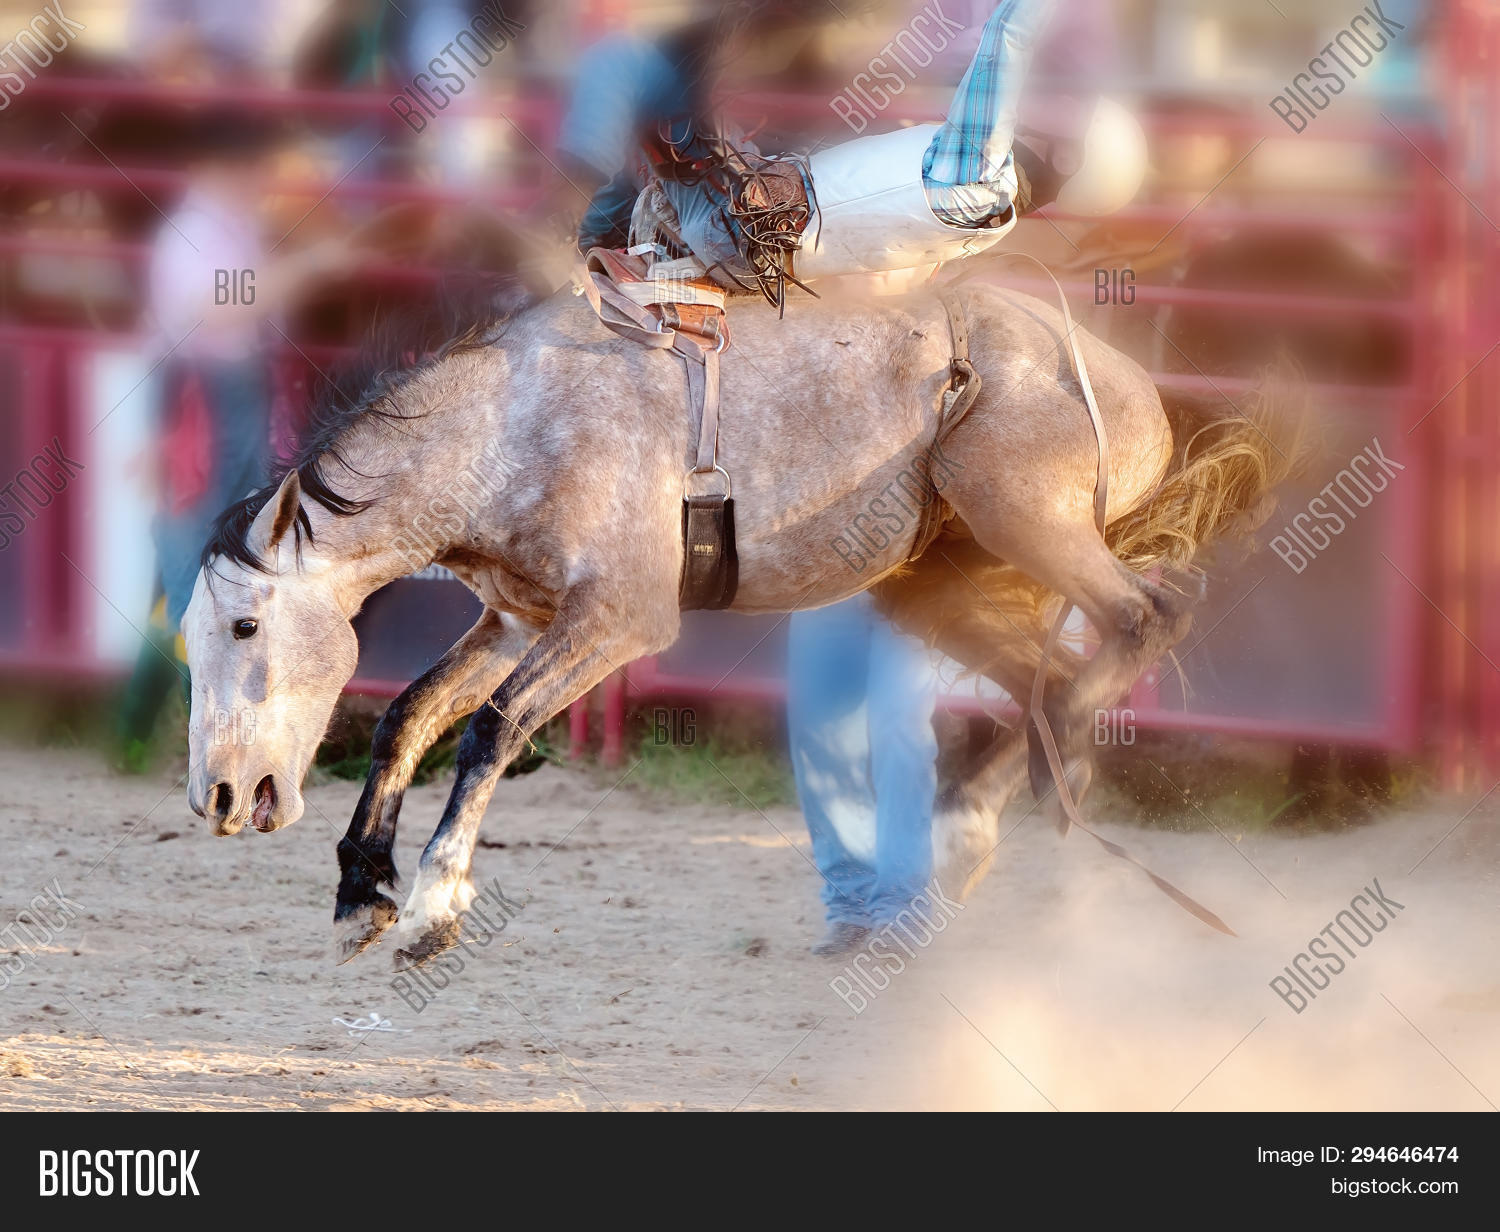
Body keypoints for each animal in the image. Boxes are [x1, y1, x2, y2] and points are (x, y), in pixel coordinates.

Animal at [181, 272, 1303, 967]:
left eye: (244, 630)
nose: (220, 797)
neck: (514, 425)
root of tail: (1131, 384)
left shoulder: (621, 619)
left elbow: (495, 727)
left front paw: (430, 903)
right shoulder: (515, 619)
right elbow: (408, 716)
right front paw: (361, 894)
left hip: (1030, 519)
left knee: (1146, 614)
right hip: (948, 581)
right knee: (1058, 671)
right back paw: (979, 823)